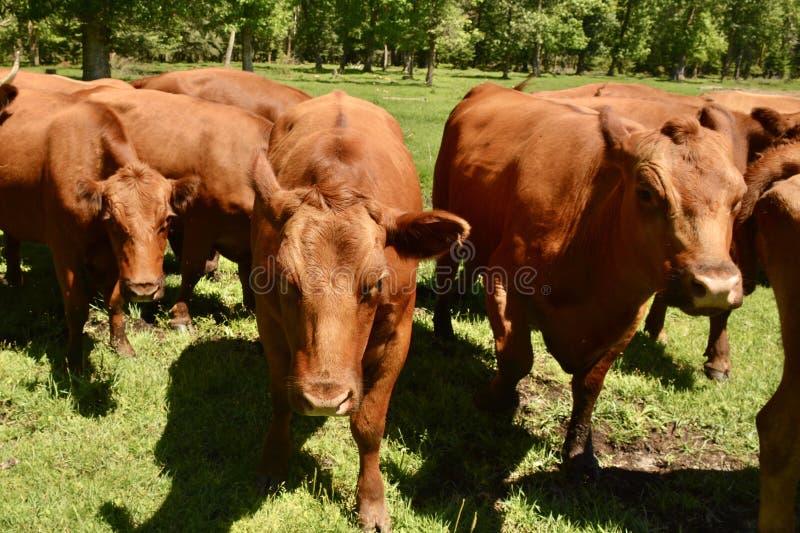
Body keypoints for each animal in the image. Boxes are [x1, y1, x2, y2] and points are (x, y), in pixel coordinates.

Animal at [0, 72, 195, 371]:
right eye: (113, 221)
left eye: (168, 220)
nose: (144, 288)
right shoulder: (64, 249)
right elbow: (76, 306)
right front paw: (73, 361)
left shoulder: (110, 252)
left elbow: (114, 299)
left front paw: (122, 346)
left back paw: (14, 280)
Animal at [250, 90, 469, 531]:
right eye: (286, 279)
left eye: (375, 283)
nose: (324, 397)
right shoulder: (270, 324)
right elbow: (280, 400)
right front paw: (272, 462)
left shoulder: (397, 335)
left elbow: (369, 426)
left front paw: (371, 502)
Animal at [432, 83, 745, 477]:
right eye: (646, 191)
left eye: (739, 198)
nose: (716, 287)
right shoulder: (505, 279)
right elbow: (517, 358)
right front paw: (495, 399)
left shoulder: (627, 315)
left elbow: (590, 385)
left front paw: (580, 450)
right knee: (445, 276)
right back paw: (443, 331)